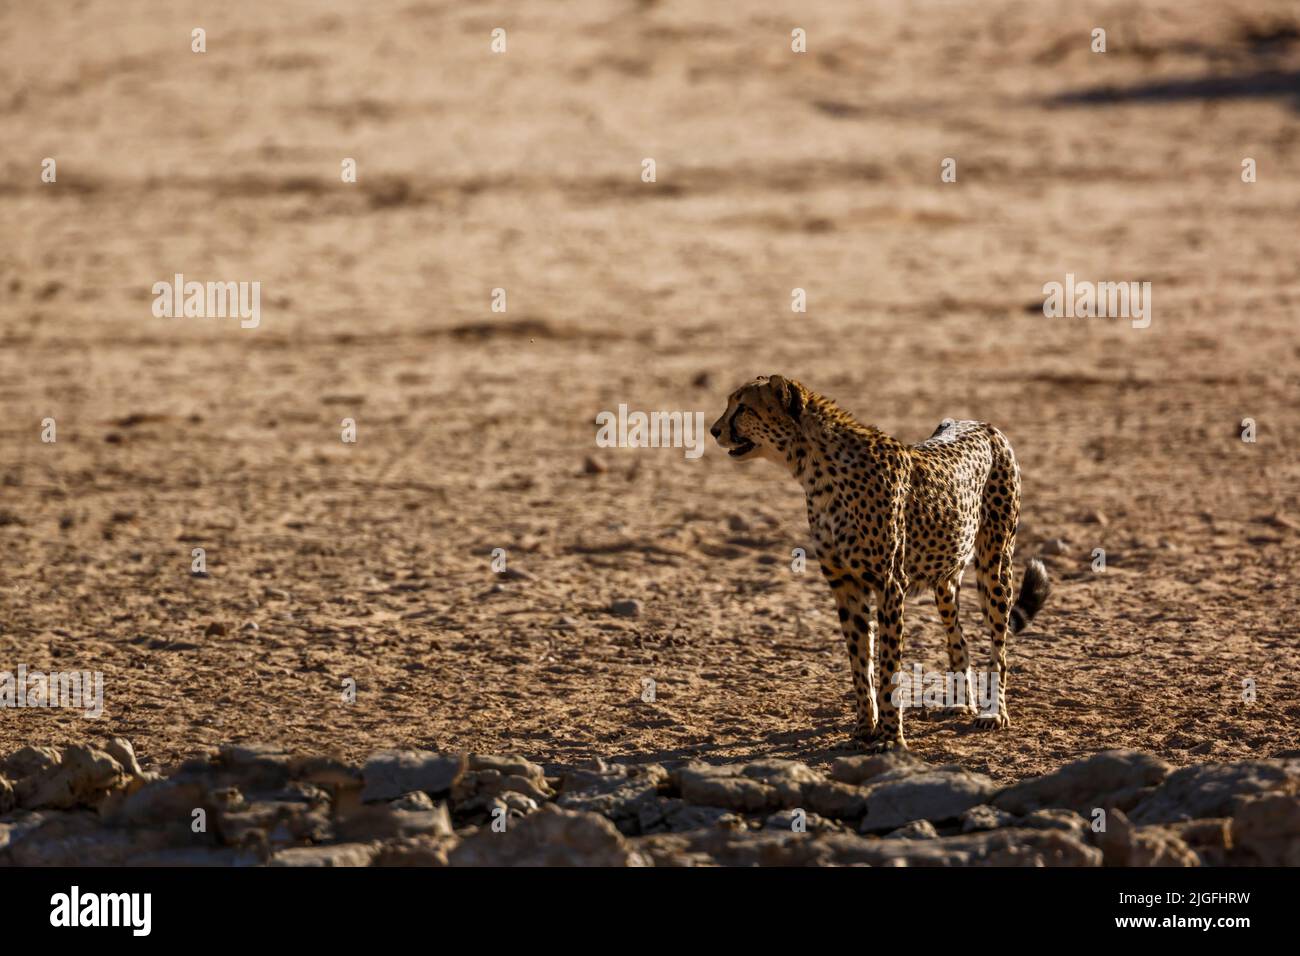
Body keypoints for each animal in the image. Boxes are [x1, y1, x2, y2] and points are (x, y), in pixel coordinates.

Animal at [710, 375, 1050, 751]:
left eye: (743, 407)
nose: (714, 430)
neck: (815, 467)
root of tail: (980, 423)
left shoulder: (889, 584)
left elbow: (887, 666)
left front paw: (890, 737)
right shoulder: (845, 584)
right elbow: (860, 662)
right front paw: (864, 729)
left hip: (995, 561)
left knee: (999, 644)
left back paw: (994, 712)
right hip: (944, 575)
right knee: (958, 638)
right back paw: (962, 703)